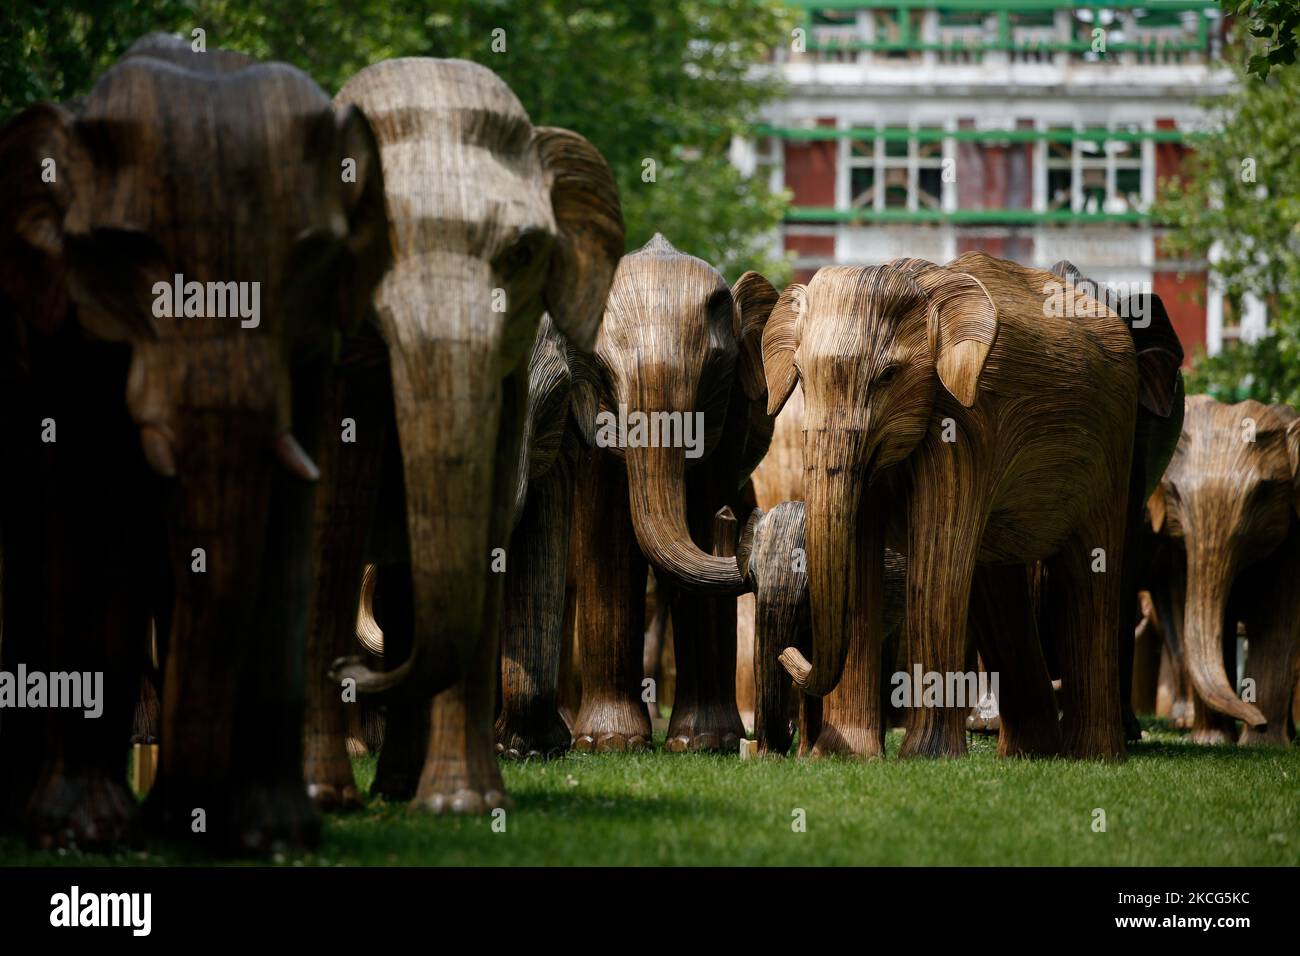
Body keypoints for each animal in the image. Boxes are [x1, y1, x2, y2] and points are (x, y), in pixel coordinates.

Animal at [0, 34, 389, 849]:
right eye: (123, 254)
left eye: (309, 257)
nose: (182, 823)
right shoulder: (65, 323)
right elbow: (87, 500)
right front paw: (85, 833)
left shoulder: (315, 342)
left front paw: (273, 835)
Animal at [561, 234, 779, 753]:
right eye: (600, 371)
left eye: (716, 368)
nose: (739, 524)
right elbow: (606, 546)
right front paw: (608, 743)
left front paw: (708, 742)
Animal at [764, 251, 1170, 760]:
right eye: (799, 374)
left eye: (887, 376)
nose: (787, 653)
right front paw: (845, 757)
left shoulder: (962, 418)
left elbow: (940, 555)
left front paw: (924, 758)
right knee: (998, 582)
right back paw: (1030, 755)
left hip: (1114, 441)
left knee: (1090, 567)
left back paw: (1093, 756)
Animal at [1151, 394, 1300, 746]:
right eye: (1174, 492)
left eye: (1262, 491)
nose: (1257, 719)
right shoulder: (1180, 548)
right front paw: (1211, 741)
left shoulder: (1291, 535)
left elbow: (1276, 621)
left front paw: (1263, 744)